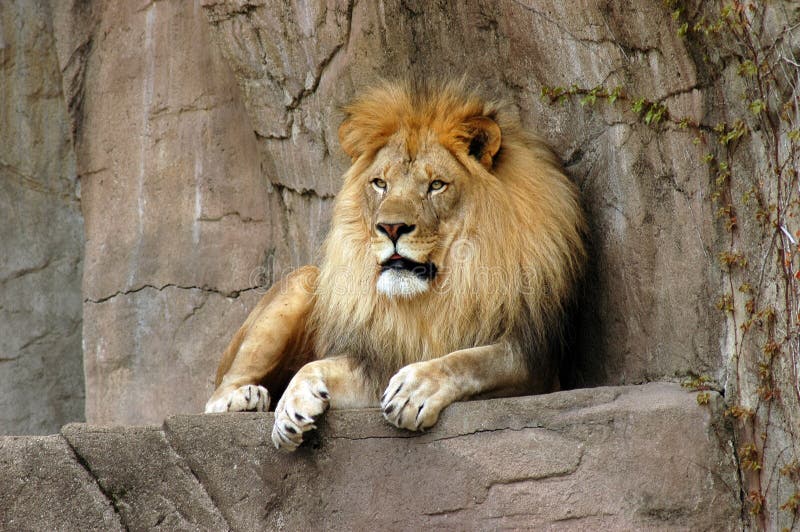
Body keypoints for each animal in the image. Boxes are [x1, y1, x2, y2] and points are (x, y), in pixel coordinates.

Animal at [204, 80, 586, 451]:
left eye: (436, 185)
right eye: (380, 184)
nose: (390, 228)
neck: (441, 292)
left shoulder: (534, 359)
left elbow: (471, 360)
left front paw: (414, 389)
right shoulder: (376, 358)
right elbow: (315, 365)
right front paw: (290, 407)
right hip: (303, 281)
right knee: (214, 396)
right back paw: (242, 398)